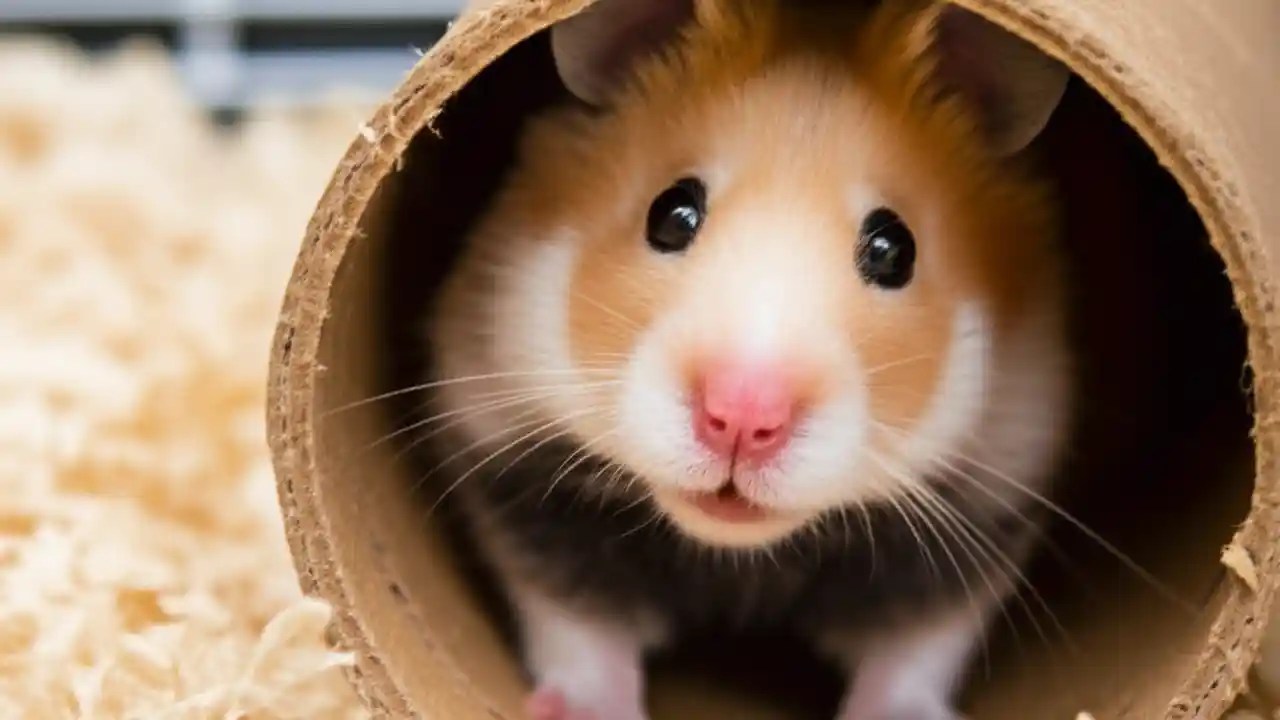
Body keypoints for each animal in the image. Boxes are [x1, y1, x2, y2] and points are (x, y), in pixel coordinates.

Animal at [426, 1, 1072, 718]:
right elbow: (579, 625)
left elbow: (916, 649)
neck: (740, 551)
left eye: (893, 250)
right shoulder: (518, 476)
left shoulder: (984, 511)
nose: (740, 418)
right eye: (672, 213)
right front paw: (577, 709)